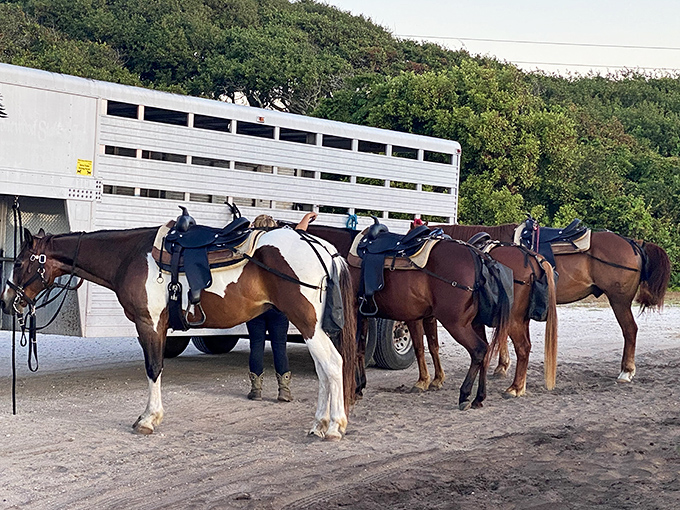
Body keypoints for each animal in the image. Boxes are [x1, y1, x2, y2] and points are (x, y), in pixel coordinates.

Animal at [0, 225, 357, 440]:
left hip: (307, 324)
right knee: (325, 369)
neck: (130, 256)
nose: (6, 301)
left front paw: (148, 419)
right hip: (314, 327)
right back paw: (320, 424)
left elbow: (153, 369)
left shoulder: (149, 323)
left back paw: (335, 427)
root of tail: (322, 248)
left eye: (18, 263)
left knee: (332, 365)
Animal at [302, 223, 513, 410]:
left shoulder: (353, 311)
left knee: (478, 350)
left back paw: (465, 395)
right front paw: (360, 386)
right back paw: (479, 397)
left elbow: (353, 349)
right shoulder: (363, 313)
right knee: (486, 351)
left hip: (456, 323)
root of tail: (477, 255)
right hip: (474, 323)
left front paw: (353, 390)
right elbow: (360, 349)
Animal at [429, 221, 671, 383]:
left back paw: (626, 371)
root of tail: (634, 243)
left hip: (619, 300)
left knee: (630, 330)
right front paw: (503, 367)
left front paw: (502, 366)